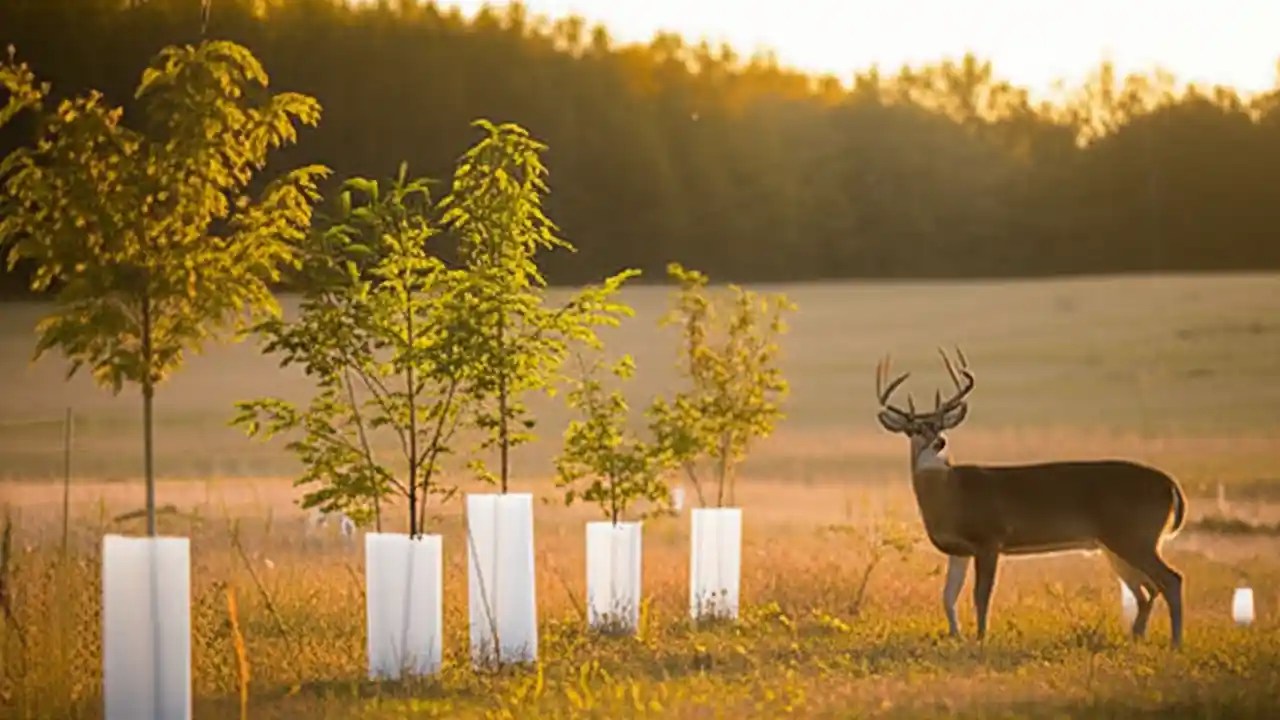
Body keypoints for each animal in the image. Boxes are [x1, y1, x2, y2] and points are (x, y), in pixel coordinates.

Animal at [874, 348, 1188, 648]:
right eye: (914, 429)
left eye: (942, 425)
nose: (940, 442)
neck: (951, 494)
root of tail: (1170, 483)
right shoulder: (959, 550)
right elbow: (948, 596)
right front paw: (956, 636)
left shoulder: (990, 539)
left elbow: (981, 595)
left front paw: (981, 637)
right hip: (1118, 545)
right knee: (1147, 589)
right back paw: (1137, 637)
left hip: (1135, 537)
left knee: (1170, 580)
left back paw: (1175, 643)